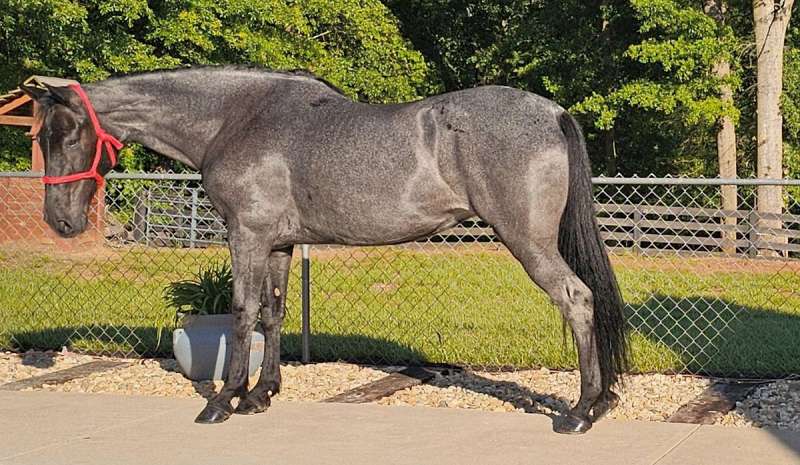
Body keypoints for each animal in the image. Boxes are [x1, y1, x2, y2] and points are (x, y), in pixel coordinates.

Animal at [20, 66, 628, 434]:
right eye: (40, 138)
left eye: (65, 134)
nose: (61, 221)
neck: (234, 119)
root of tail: (552, 113)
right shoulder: (280, 244)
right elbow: (274, 313)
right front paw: (260, 395)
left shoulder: (247, 234)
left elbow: (241, 313)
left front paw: (222, 400)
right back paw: (597, 403)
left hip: (528, 241)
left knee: (577, 298)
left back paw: (580, 411)